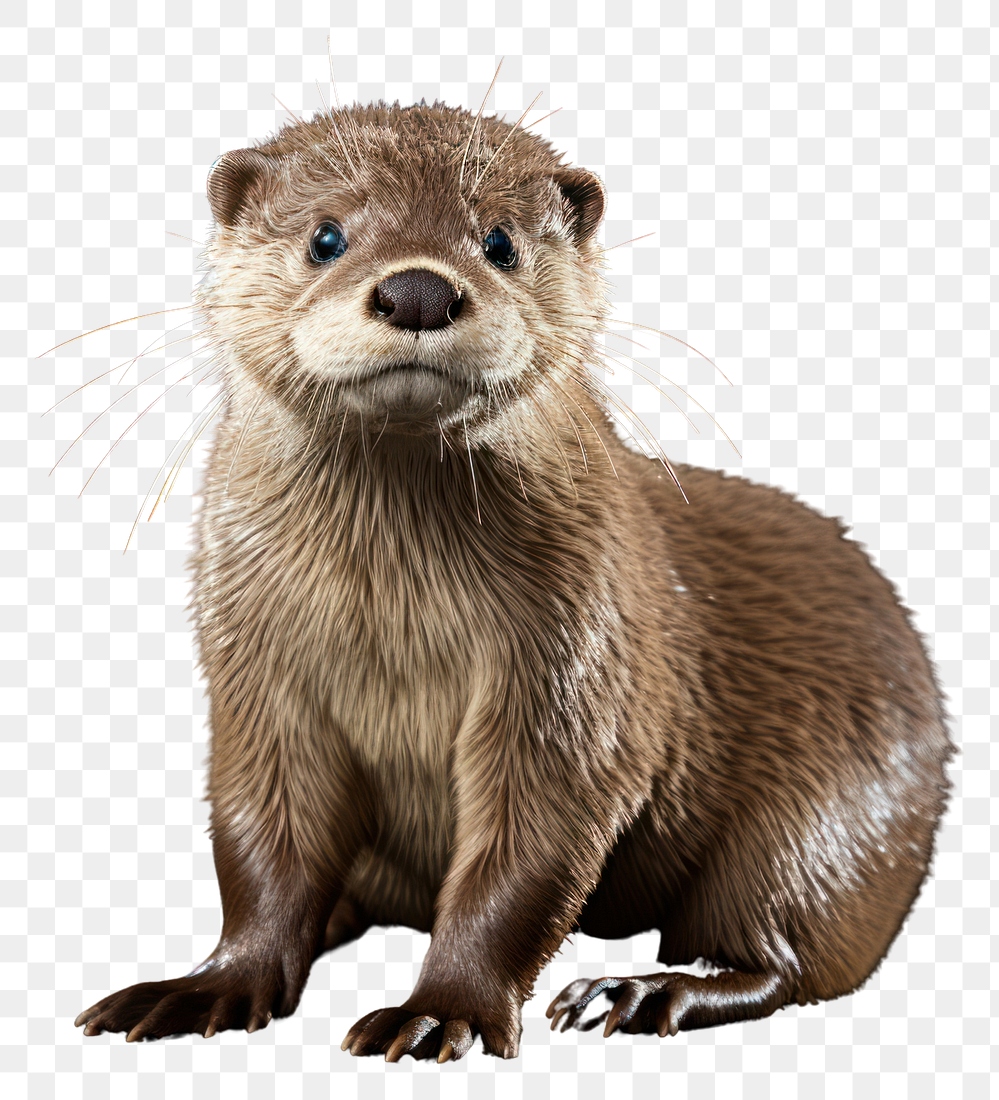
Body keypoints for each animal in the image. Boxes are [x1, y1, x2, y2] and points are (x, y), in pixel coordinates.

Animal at [74, 102, 951, 1062]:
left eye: (498, 242)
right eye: (325, 236)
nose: (418, 291)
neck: (394, 614)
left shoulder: (580, 667)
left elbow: (526, 856)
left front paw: (436, 1010)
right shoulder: (252, 674)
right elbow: (259, 843)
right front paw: (208, 985)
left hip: (825, 812)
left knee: (782, 945)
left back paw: (639, 989)